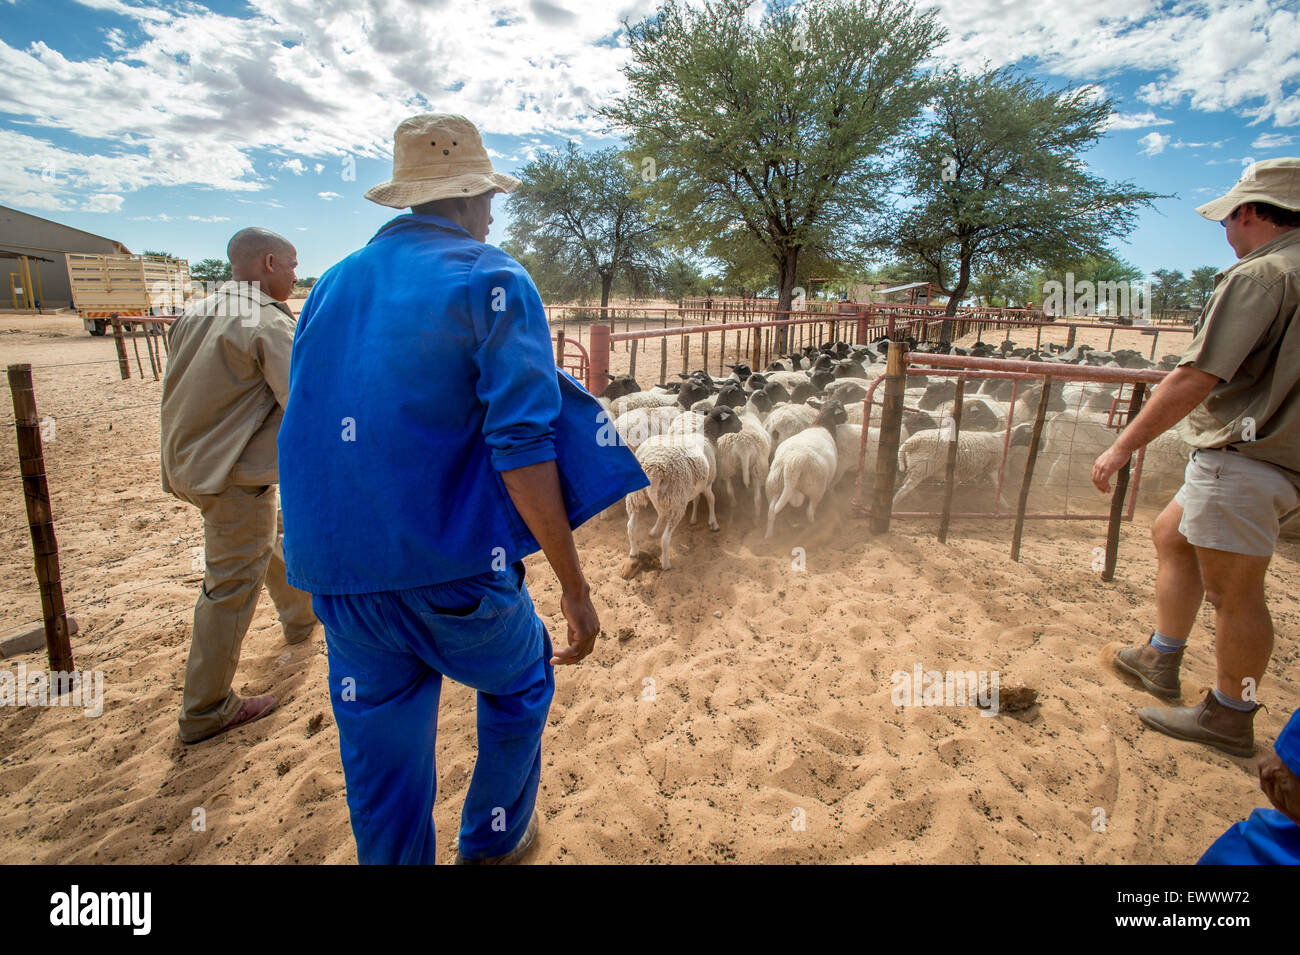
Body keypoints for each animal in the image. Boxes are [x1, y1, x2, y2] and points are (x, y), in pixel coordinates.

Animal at [626, 406, 743, 570]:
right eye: (731, 416)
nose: (742, 426)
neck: (707, 436)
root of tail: (654, 467)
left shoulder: (695, 484)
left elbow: (696, 499)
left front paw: (693, 519)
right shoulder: (707, 482)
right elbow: (711, 499)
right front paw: (713, 524)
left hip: (638, 495)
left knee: (631, 526)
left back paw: (634, 552)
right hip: (676, 498)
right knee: (665, 538)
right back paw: (666, 564)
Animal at [765, 400, 848, 537]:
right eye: (841, 407)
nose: (847, 418)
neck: (821, 425)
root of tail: (792, 464)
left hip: (773, 486)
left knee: (771, 511)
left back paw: (769, 535)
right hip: (815, 489)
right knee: (809, 512)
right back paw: (814, 527)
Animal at [893, 423, 1034, 507]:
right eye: (1030, 434)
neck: (1003, 439)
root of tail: (912, 441)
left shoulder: (964, 471)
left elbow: (955, 484)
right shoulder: (991, 468)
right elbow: (996, 486)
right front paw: (1005, 505)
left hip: (916, 466)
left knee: (906, 484)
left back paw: (918, 501)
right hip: (924, 467)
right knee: (906, 488)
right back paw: (894, 504)